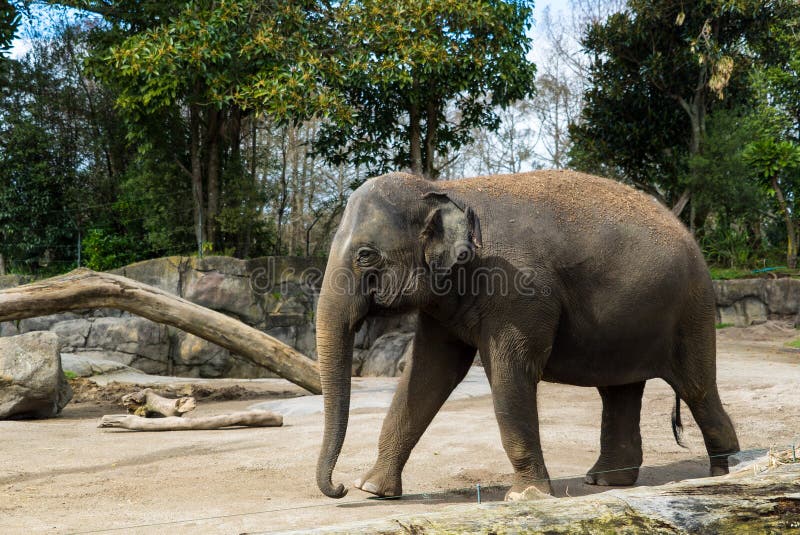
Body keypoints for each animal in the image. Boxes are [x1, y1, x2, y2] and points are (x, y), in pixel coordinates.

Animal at [315, 169, 740, 501]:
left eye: (365, 255)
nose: (339, 488)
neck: (444, 187)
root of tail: (687, 233)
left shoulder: (518, 291)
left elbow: (510, 371)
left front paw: (526, 496)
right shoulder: (444, 300)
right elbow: (428, 375)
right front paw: (373, 489)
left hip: (692, 308)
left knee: (696, 387)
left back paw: (727, 471)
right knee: (619, 391)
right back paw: (606, 481)